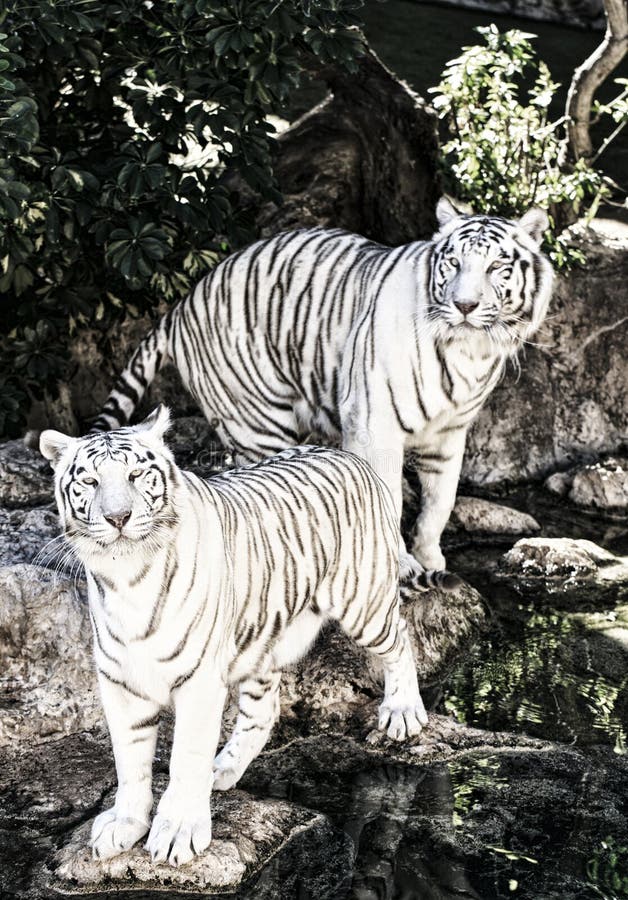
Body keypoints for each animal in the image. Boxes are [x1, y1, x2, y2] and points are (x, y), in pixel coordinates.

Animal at [40, 405, 431, 868]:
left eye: (136, 475)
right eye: (89, 481)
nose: (117, 518)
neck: (128, 577)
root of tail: (346, 455)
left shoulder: (199, 681)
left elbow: (185, 756)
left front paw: (177, 831)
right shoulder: (120, 682)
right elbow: (129, 760)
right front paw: (125, 825)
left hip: (363, 602)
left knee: (400, 640)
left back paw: (403, 713)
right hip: (262, 637)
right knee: (265, 710)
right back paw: (223, 768)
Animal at [92, 197, 553, 577]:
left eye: (495, 267)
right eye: (453, 263)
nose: (464, 306)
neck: (469, 352)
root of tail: (181, 304)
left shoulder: (449, 433)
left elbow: (441, 501)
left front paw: (430, 559)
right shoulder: (374, 423)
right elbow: (389, 498)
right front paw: (403, 565)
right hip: (258, 423)